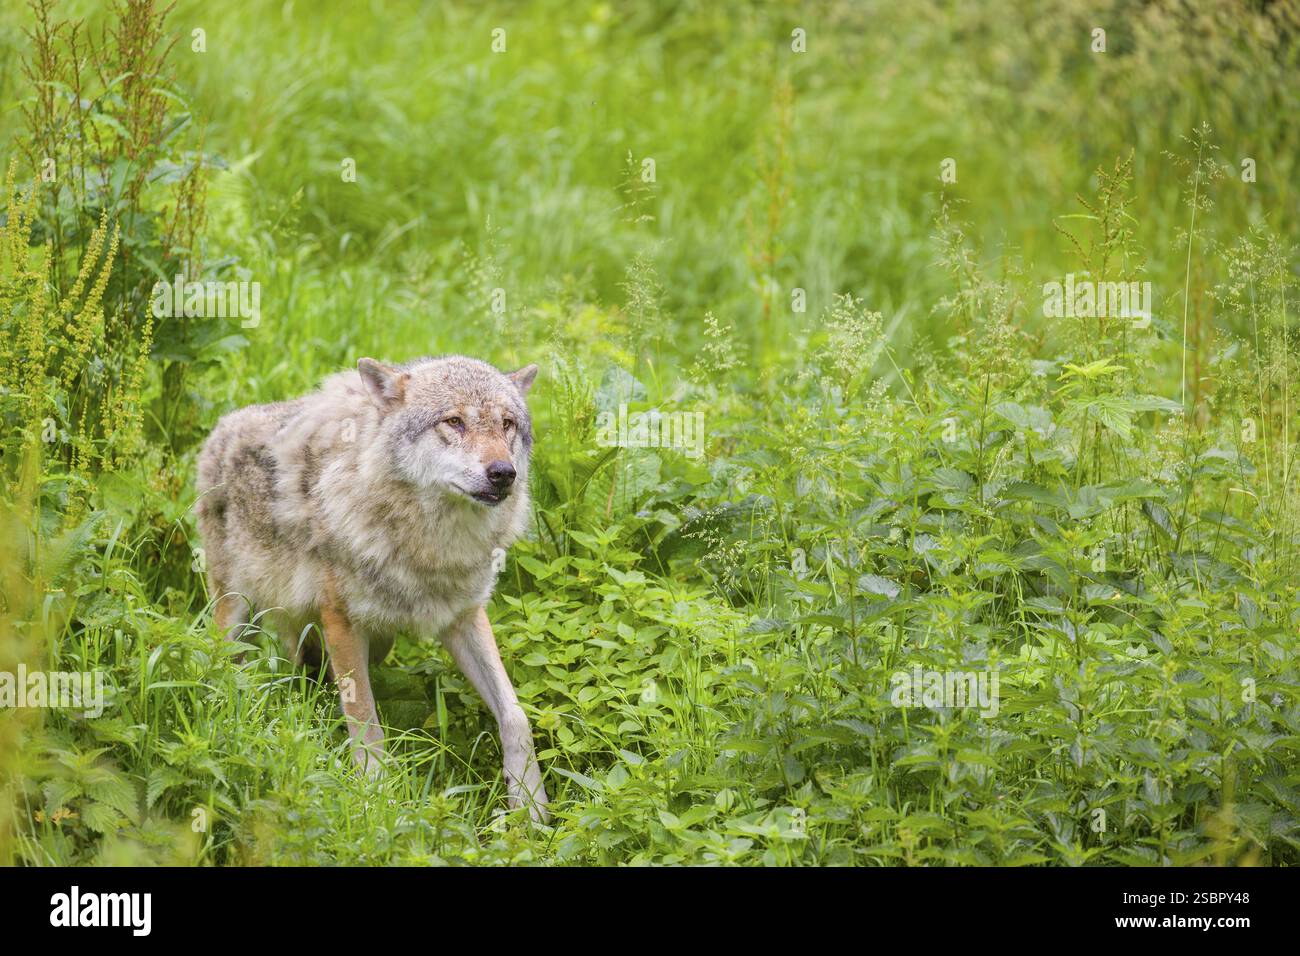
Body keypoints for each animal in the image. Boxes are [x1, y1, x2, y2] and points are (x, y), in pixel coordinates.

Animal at [195, 355, 549, 821]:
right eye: (454, 422)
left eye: (507, 424)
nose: (504, 473)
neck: (431, 545)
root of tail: (222, 426)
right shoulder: (341, 621)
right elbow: (365, 720)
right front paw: (376, 799)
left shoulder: (465, 619)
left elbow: (516, 716)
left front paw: (531, 806)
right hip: (236, 611)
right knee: (223, 667)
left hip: (362, 635)